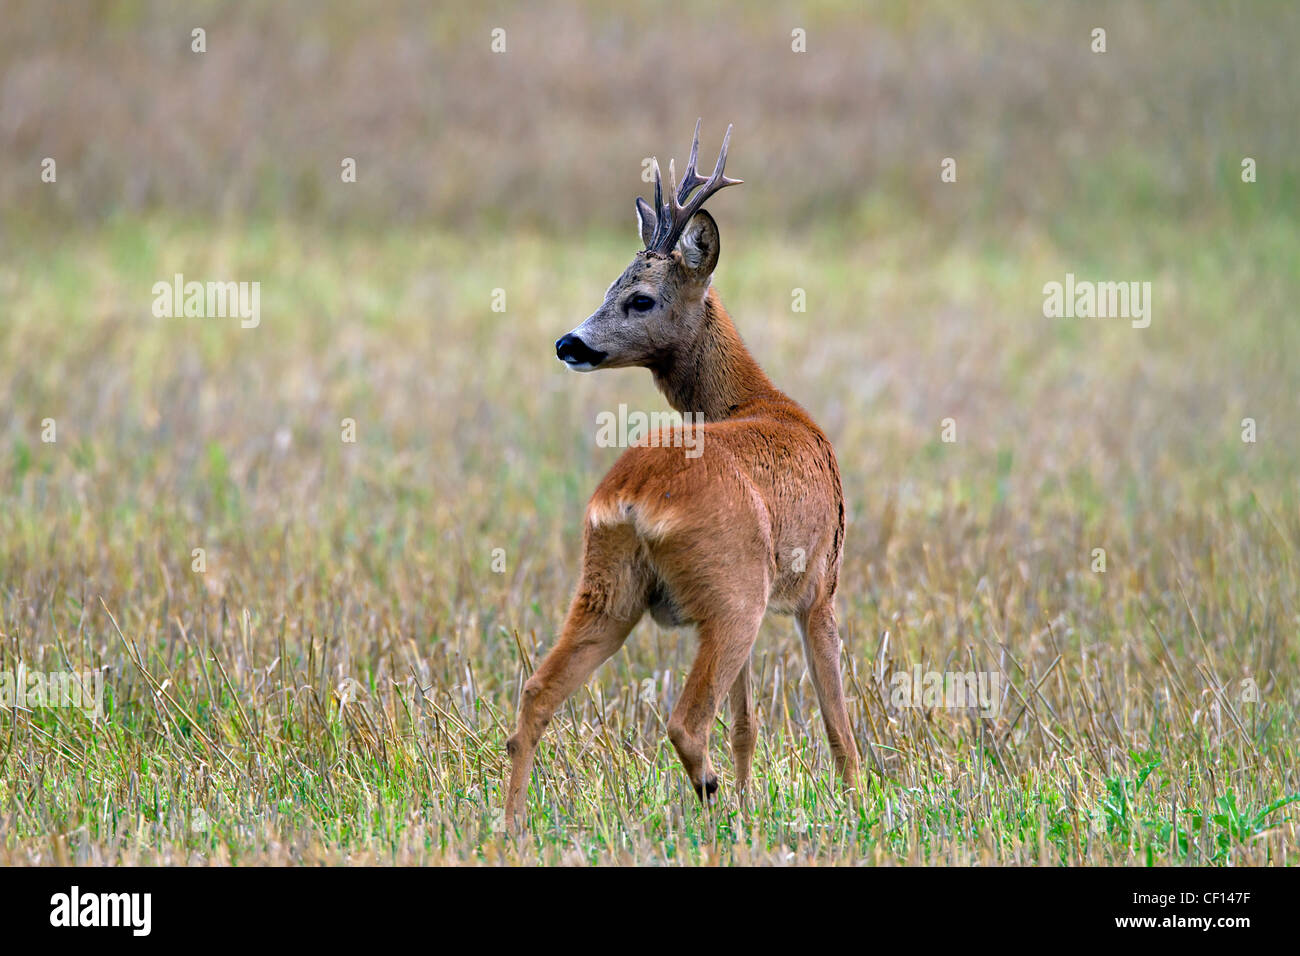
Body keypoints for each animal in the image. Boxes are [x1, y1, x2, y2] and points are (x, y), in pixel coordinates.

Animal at [504, 121, 859, 829]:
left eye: (637, 296)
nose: (568, 343)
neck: (757, 400)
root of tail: (634, 498)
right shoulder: (818, 586)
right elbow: (837, 720)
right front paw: (863, 802)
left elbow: (748, 723)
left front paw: (754, 799)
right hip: (735, 592)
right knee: (684, 722)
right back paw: (710, 795)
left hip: (609, 587)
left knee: (535, 693)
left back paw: (509, 824)